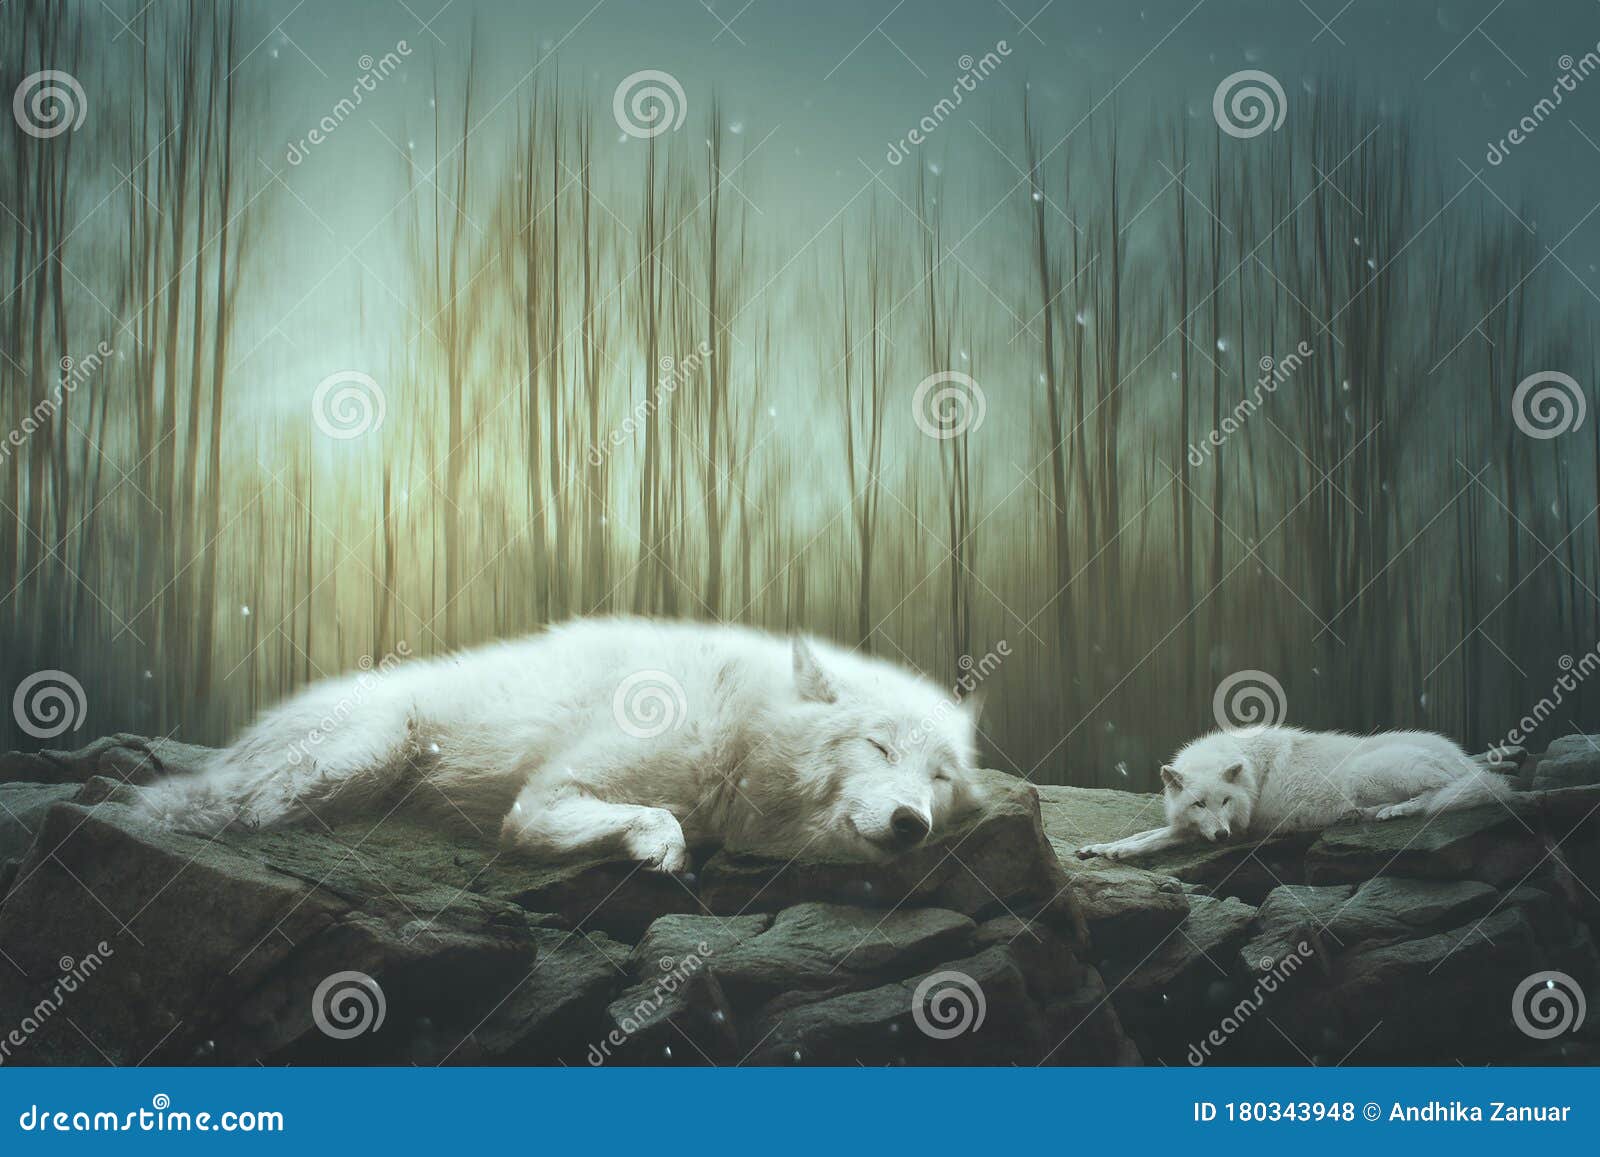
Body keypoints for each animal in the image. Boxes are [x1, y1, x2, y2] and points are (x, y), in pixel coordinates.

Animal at [137, 617, 990, 871]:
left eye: (939, 777)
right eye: (879, 748)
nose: (911, 823)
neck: (738, 730)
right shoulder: (543, 800)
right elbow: (656, 818)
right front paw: (661, 851)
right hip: (358, 758)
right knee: (217, 804)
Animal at [1075, 725, 1513, 861]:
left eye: (1225, 801)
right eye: (1200, 803)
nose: (1221, 837)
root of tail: (1466, 761)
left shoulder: (1242, 827)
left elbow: (1159, 838)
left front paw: (1120, 852)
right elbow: (1146, 832)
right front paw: (1099, 847)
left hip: (1367, 774)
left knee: (1436, 797)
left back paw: (1392, 812)